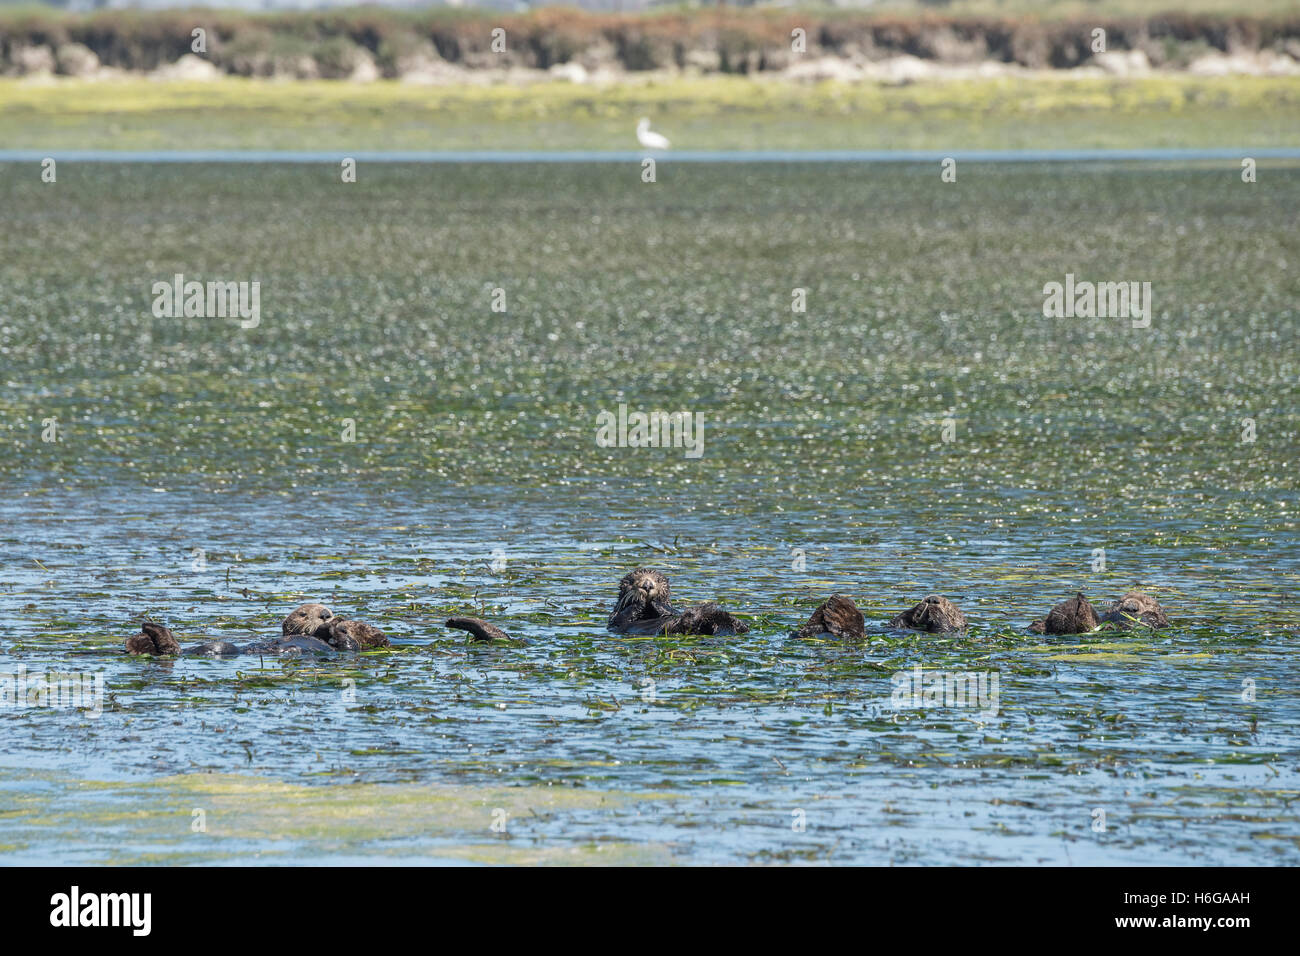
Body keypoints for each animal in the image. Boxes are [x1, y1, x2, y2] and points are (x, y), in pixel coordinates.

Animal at [607, 568, 748, 636]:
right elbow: (621, 618)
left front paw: (655, 601)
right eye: (632, 581)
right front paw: (640, 601)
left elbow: (672, 611)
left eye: (658, 580)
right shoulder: (613, 622)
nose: (647, 585)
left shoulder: (672, 610)